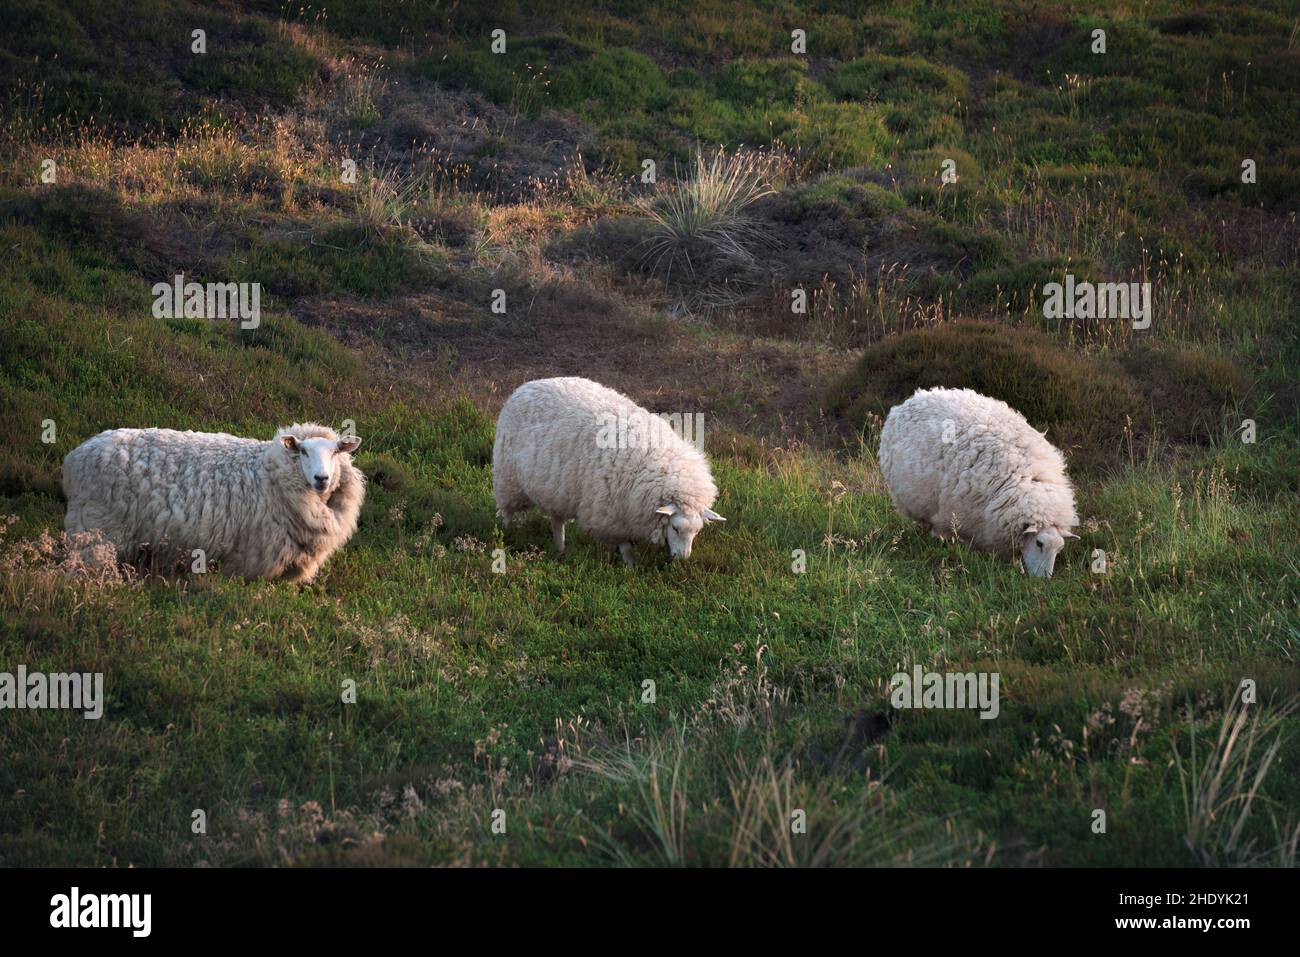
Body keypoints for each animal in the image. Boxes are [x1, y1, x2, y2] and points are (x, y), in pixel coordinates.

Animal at [62, 423, 365, 583]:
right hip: (96, 530)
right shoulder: (249, 559)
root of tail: (76, 457)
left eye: (335, 452)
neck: (272, 473)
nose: (322, 478)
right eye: (302, 451)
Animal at [492, 377, 724, 567]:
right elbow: (626, 548)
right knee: (508, 511)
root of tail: (525, 386)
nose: (682, 559)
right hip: (507, 477)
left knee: (555, 521)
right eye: (675, 528)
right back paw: (507, 532)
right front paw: (630, 569)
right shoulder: (611, 517)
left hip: (556, 491)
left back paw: (558, 548)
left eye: (697, 531)